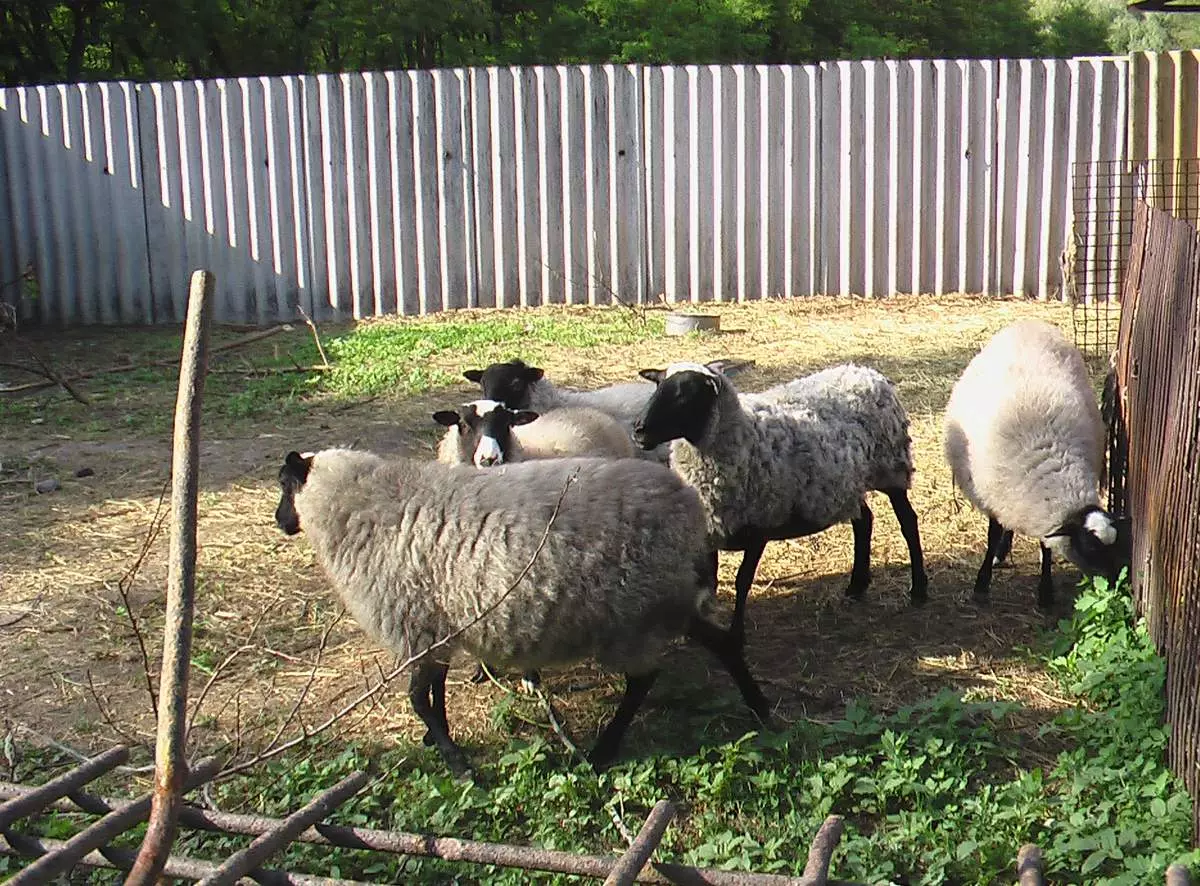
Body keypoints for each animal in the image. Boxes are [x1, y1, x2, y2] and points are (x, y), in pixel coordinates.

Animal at [272, 444, 768, 768]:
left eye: (282, 483)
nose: (280, 522)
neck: (358, 503)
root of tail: (689, 511)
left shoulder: (414, 626)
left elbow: (418, 699)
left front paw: (457, 763)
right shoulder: (437, 627)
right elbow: (435, 694)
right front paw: (439, 741)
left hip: (633, 616)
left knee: (642, 681)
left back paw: (601, 752)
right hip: (666, 602)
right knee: (721, 643)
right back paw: (760, 710)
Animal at [628, 360, 926, 643]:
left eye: (685, 394)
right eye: (658, 387)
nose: (639, 431)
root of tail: (865, 372)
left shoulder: (761, 526)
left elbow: (742, 581)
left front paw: (736, 634)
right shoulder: (710, 529)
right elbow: (709, 582)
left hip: (891, 469)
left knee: (908, 522)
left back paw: (919, 590)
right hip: (847, 485)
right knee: (864, 521)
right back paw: (857, 586)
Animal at [940, 319, 1128, 607]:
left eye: (1116, 545)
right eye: (1090, 546)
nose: (1115, 581)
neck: (1053, 467)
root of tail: (1029, 323)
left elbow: (1045, 547)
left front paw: (1045, 592)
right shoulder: (991, 495)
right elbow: (993, 534)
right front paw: (982, 581)